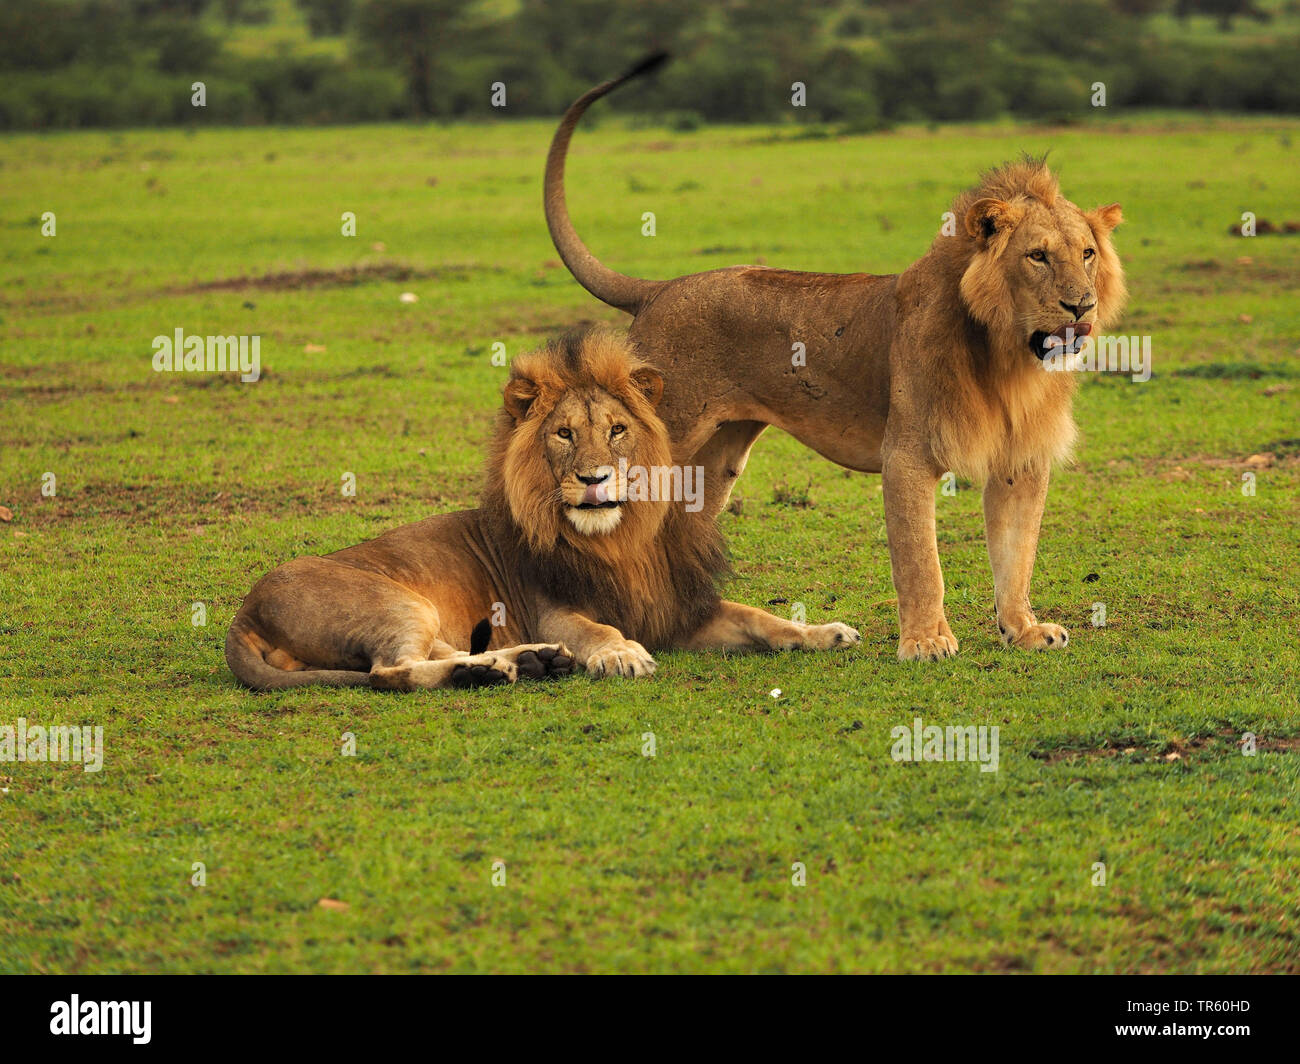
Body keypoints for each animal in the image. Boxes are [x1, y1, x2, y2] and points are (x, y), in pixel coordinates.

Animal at [225, 328, 860, 691]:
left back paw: (524, 663)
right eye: (563, 434)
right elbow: (596, 628)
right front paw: (621, 654)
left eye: (617, 430)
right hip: (399, 603)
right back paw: (492, 670)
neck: (618, 543)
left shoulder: (677, 611)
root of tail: (242, 614)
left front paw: (825, 632)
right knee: (392, 672)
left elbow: (761, 619)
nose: (593, 477)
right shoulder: (553, 609)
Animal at [543, 55, 1126, 661]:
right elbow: (922, 562)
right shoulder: (907, 455)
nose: (1081, 305)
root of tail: (658, 289)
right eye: (1037, 256)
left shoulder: (1022, 459)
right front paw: (926, 642)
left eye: (1087, 254)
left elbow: (1017, 554)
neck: (1009, 357)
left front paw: (1025, 628)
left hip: (711, 461)